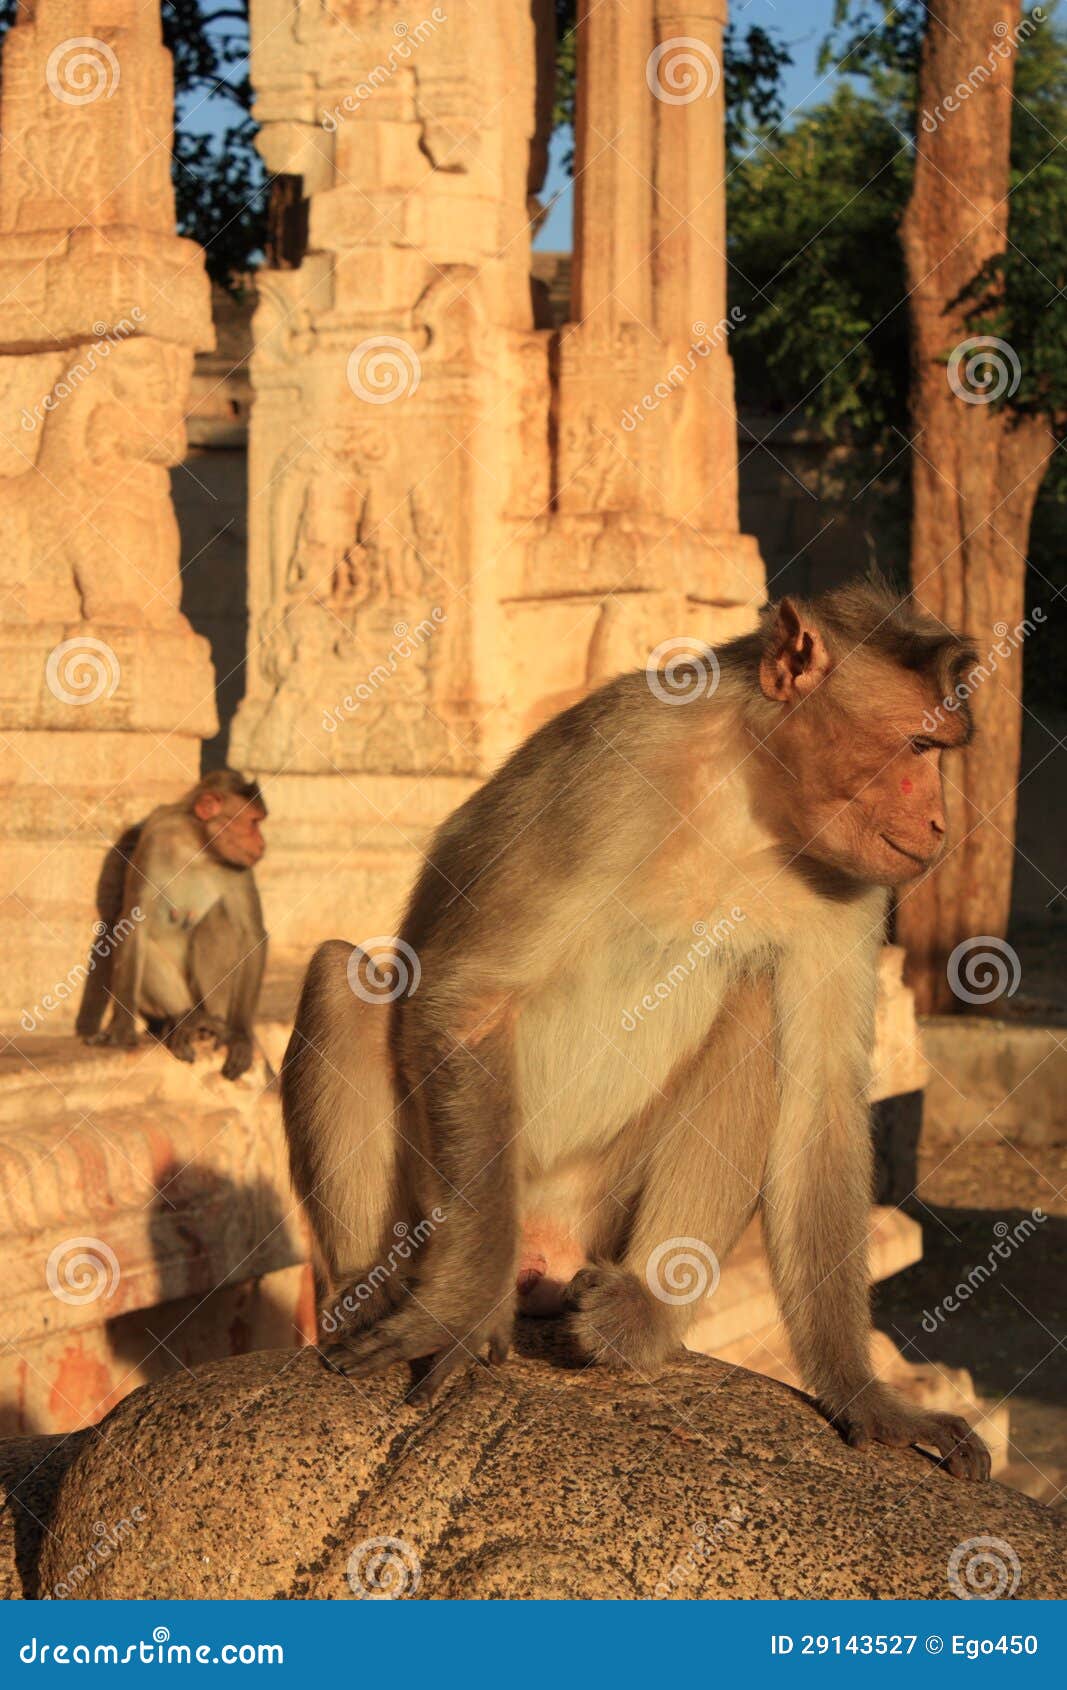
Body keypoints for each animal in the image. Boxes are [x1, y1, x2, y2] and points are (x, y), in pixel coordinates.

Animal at [88, 769, 268, 1081]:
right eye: (253, 822)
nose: (261, 843)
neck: (197, 845)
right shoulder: (156, 836)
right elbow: (131, 926)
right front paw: (121, 1028)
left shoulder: (239, 865)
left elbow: (251, 935)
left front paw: (241, 1035)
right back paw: (184, 1020)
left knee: (215, 921)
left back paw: (212, 1023)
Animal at [282, 579, 991, 1481]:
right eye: (917, 745)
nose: (938, 825)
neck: (749, 800)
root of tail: (540, 1245)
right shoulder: (614, 765)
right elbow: (469, 1002)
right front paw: (457, 1308)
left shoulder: (853, 879)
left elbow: (822, 1104)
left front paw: (867, 1396)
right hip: (439, 1201)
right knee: (343, 979)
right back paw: (371, 1287)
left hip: (594, 1211)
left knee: (754, 1010)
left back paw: (641, 1312)